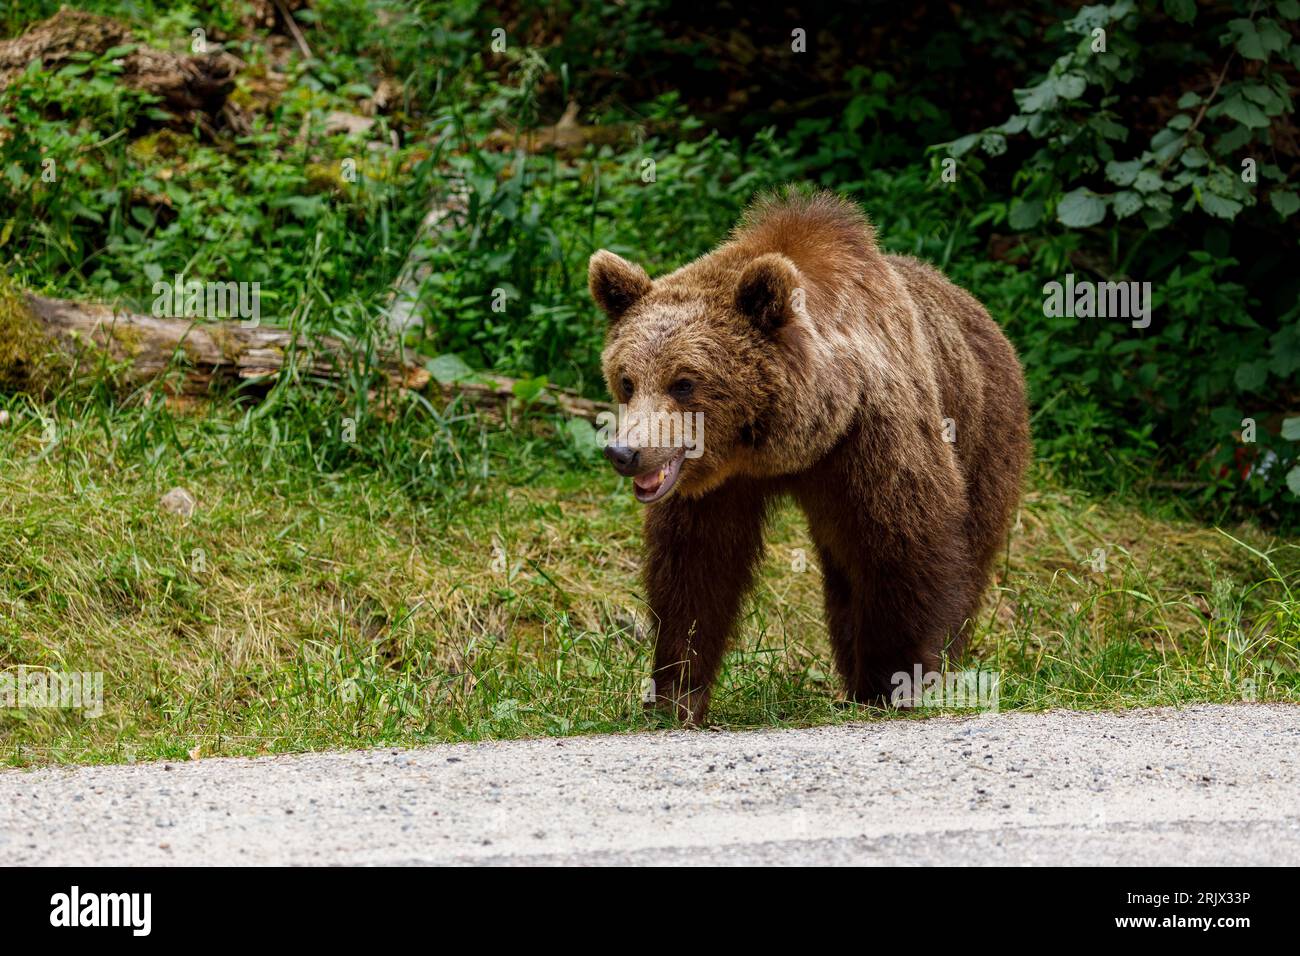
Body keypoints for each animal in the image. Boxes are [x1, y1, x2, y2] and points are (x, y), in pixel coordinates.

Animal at [589, 189, 1030, 724]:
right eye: (627, 380)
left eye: (684, 382)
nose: (625, 452)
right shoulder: (716, 486)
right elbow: (696, 568)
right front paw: (677, 693)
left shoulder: (873, 437)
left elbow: (905, 545)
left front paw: (892, 683)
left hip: (985, 431)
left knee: (968, 554)